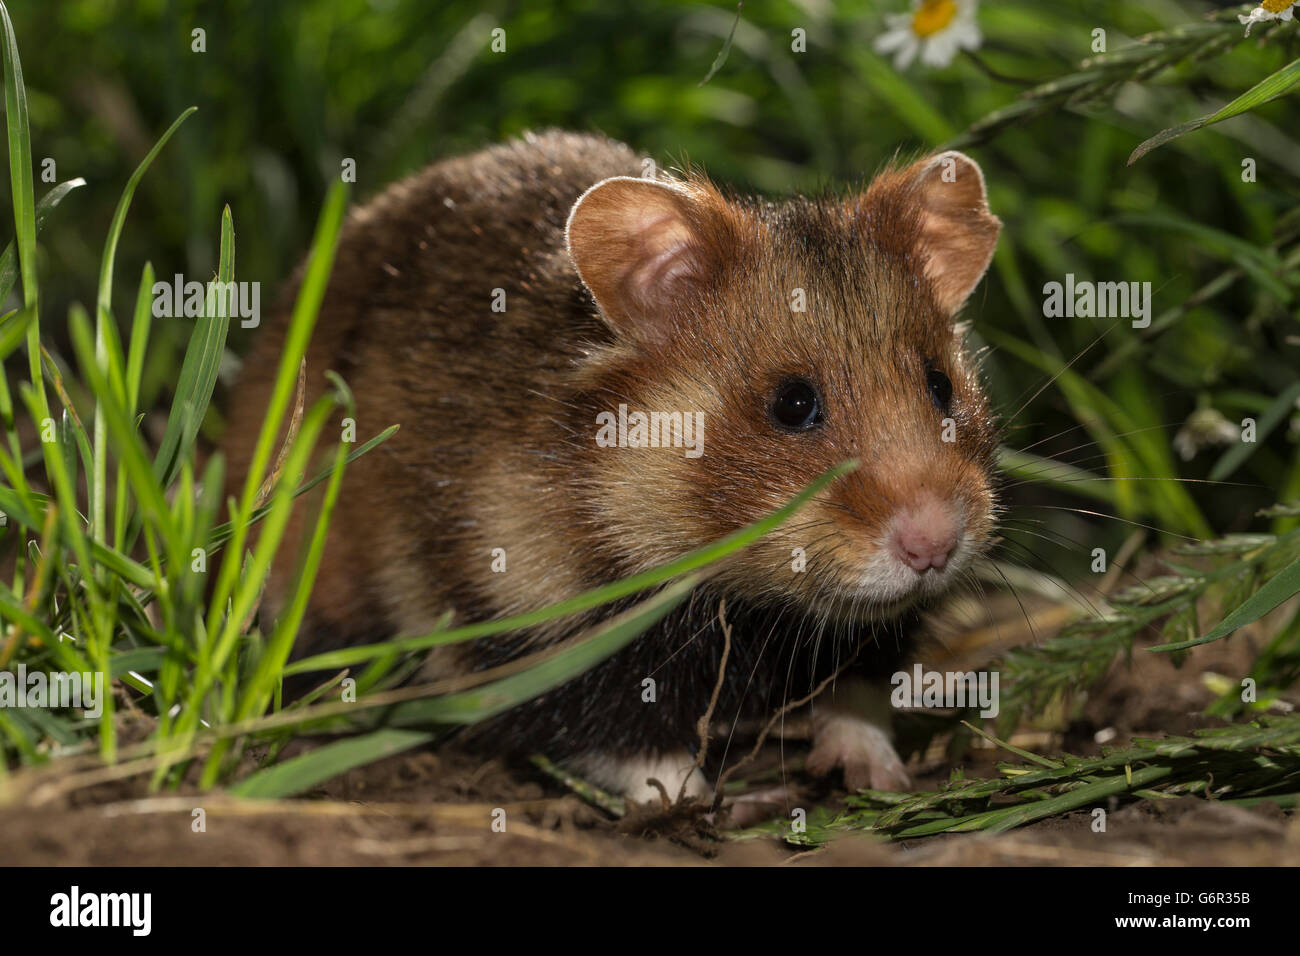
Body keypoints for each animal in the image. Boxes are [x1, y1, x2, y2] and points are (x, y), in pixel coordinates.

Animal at [222, 130, 1001, 803]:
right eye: (793, 403)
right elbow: (625, 739)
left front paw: (877, 774)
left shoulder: (859, 635)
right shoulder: (522, 622)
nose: (934, 545)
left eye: (941, 384)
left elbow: (856, 692)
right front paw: (704, 802)